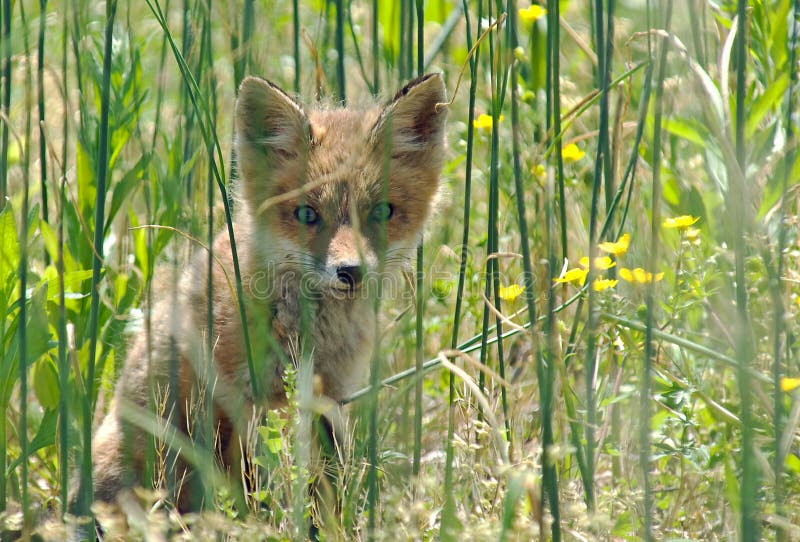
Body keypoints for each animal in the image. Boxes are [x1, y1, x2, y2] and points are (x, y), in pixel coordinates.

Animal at [77, 73, 448, 519]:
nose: (350, 272)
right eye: (307, 214)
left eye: (381, 212)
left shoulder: (329, 400)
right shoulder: (231, 401)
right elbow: (242, 486)